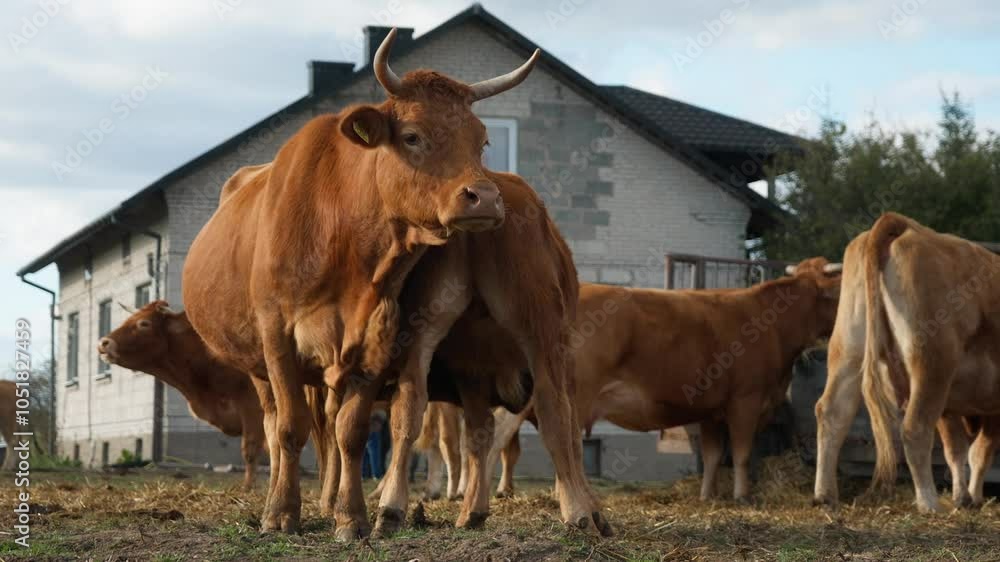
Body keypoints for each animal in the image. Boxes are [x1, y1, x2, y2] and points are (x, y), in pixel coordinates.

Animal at [182, 27, 608, 540]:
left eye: (483, 141)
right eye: (412, 136)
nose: (483, 197)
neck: (340, 229)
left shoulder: (376, 339)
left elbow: (351, 430)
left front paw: (350, 517)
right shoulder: (277, 335)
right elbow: (291, 428)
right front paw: (282, 513)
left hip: (530, 334)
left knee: (538, 415)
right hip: (264, 364)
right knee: (279, 424)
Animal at [485, 258, 842, 501]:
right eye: (837, 296)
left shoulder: (712, 411)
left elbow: (712, 455)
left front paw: (707, 496)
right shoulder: (746, 400)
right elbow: (741, 453)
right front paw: (742, 495)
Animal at [813, 212, 1000, 512]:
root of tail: (904, 225)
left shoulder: (952, 404)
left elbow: (958, 450)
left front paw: (963, 497)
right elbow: (979, 452)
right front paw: (970, 496)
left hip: (848, 349)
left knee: (832, 412)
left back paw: (825, 495)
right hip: (931, 364)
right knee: (915, 429)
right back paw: (928, 502)